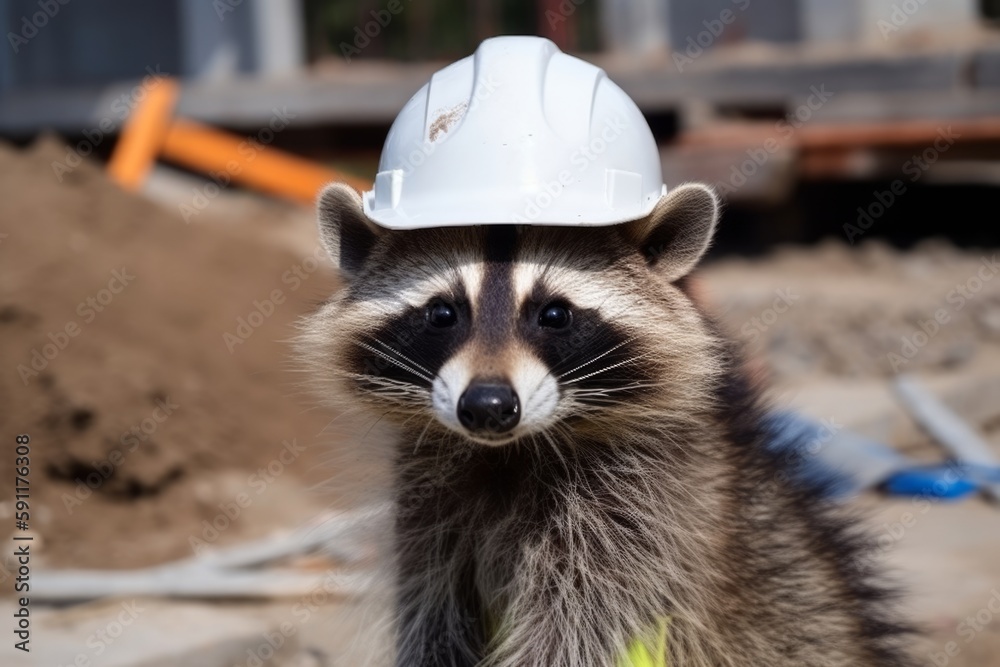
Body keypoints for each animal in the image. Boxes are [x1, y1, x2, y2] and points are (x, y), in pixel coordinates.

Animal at [302, 181, 913, 667]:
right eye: (442, 313)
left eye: (554, 314)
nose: (489, 405)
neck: (509, 451)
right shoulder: (427, 506)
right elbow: (430, 612)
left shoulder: (646, 518)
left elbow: (577, 627)